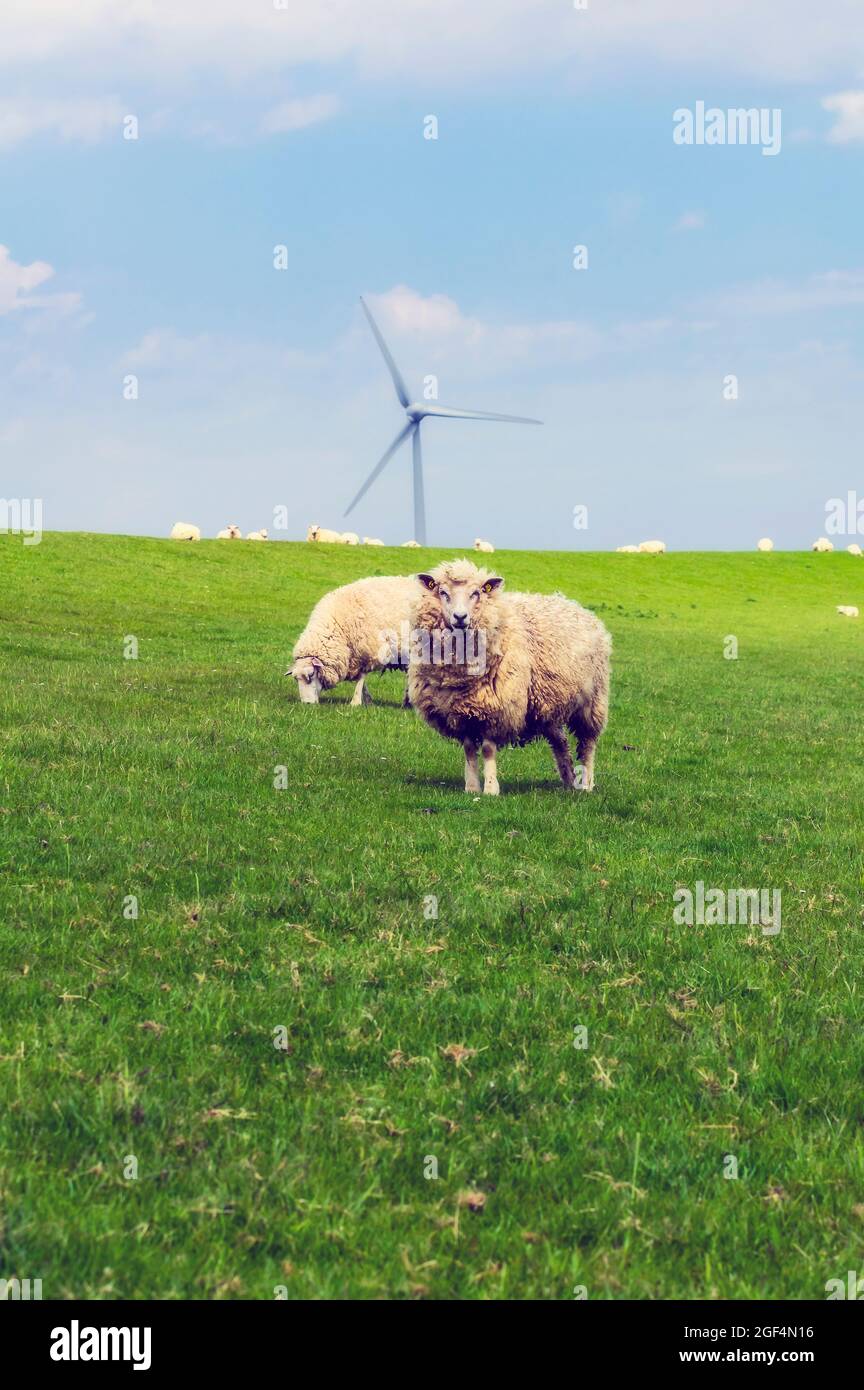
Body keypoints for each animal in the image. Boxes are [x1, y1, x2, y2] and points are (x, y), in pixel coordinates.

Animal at [288, 575, 417, 707]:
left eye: (311, 674)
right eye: (296, 679)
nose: (307, 704)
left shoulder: (367, 652)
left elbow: (361, 677)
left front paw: (355, 702)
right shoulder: (354, 657)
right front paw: (368, 700)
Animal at [408, 558, 610, 796]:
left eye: (476, 593)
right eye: (443, 592)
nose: (460, 617)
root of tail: (573, 605)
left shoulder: (496, 709)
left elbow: (487, 749)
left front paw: (490, 788)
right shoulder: (461, 711)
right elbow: (469, 749)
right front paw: (472, 787)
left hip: (592, 700)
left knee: (588, 742)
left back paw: (586, 783)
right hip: (548, 705)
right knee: (560, 742)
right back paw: (569, 780)